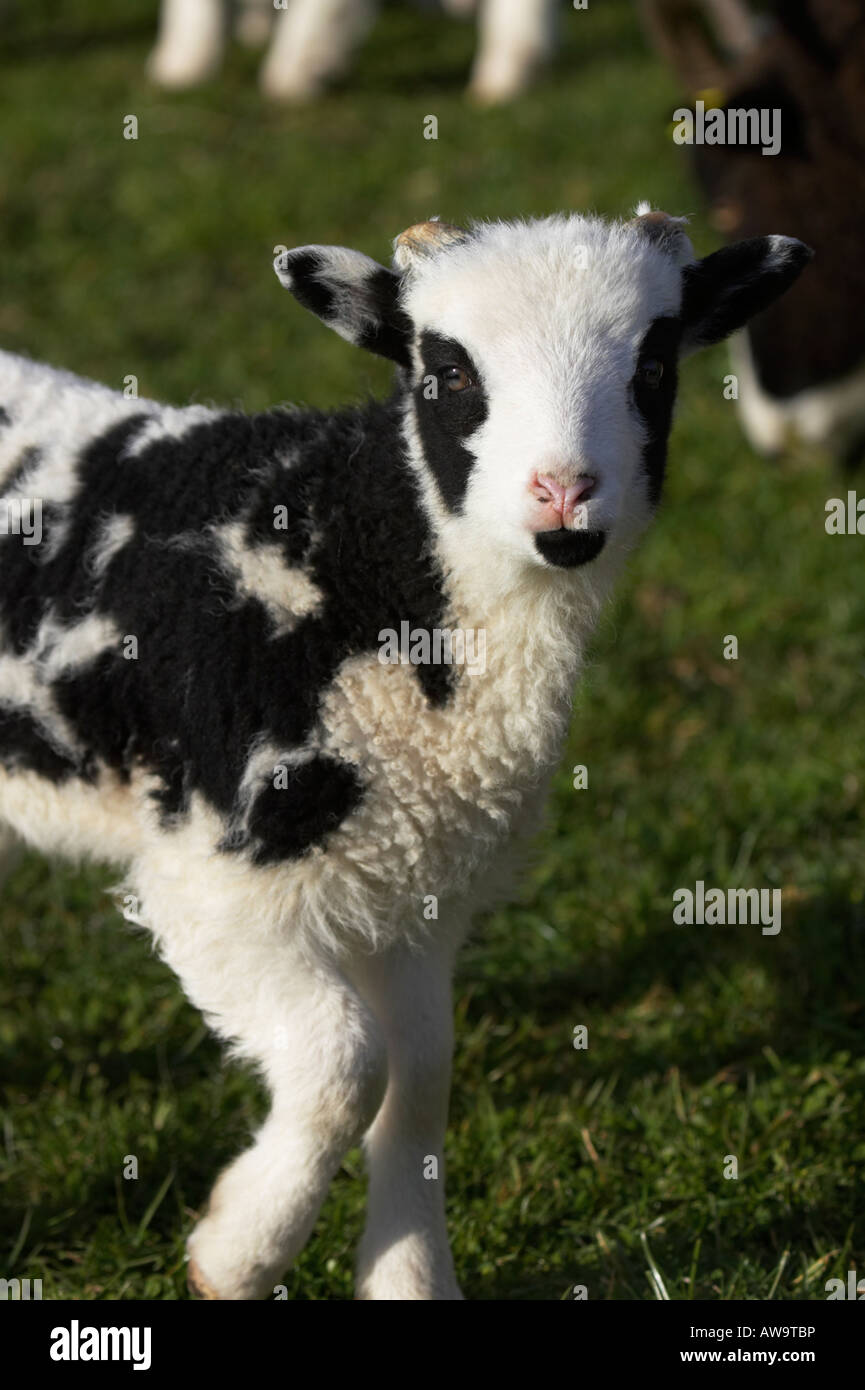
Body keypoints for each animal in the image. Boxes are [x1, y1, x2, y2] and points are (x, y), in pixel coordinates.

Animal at [0, 207, 811, 1299]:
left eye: (653, 364)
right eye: (448, 371)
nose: (564, 497)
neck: (363, 560)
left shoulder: (413, 877)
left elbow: (420, 1076)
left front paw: (408, 1273)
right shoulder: (212, 877)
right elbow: (347, 1066)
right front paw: (237, 1250)